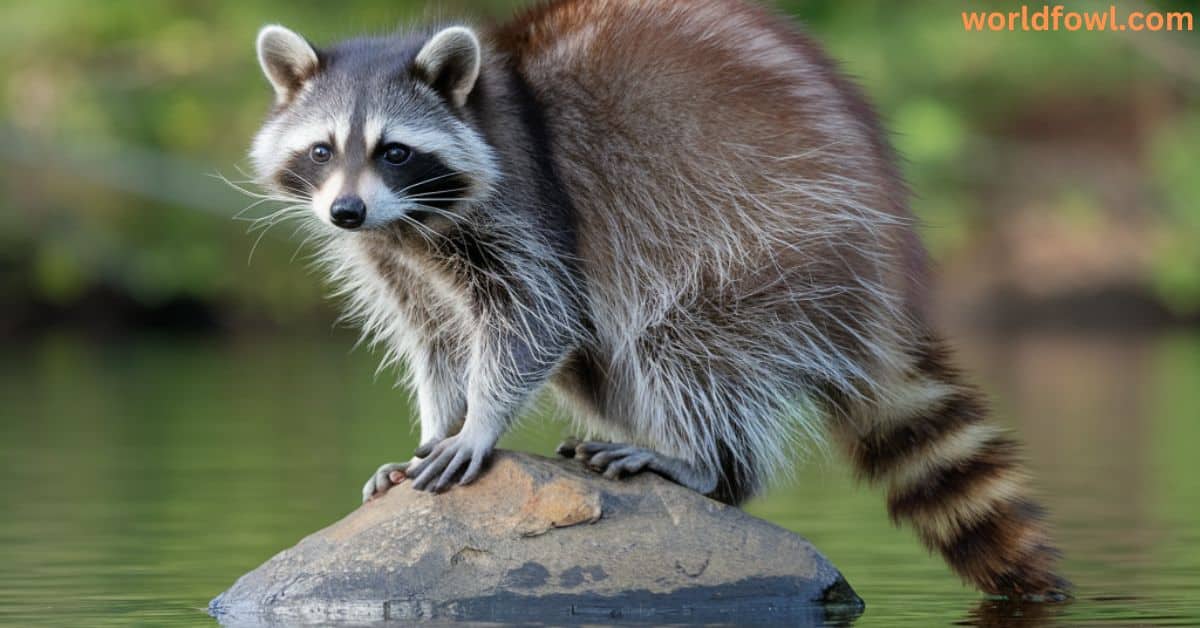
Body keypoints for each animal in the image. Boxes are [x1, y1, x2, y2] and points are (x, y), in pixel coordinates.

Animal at [249, 0, 1068, 599]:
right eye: (322, 150)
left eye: (394, 151)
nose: (345, 212)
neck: (410, 219)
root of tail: (886, 283)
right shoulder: (398, 256)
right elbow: (436, 338)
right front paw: (436, 421)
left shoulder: (527, 203)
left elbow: (537, 317)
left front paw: (477, 423)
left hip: (771, 237)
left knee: (684, 336)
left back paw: (708, 462)